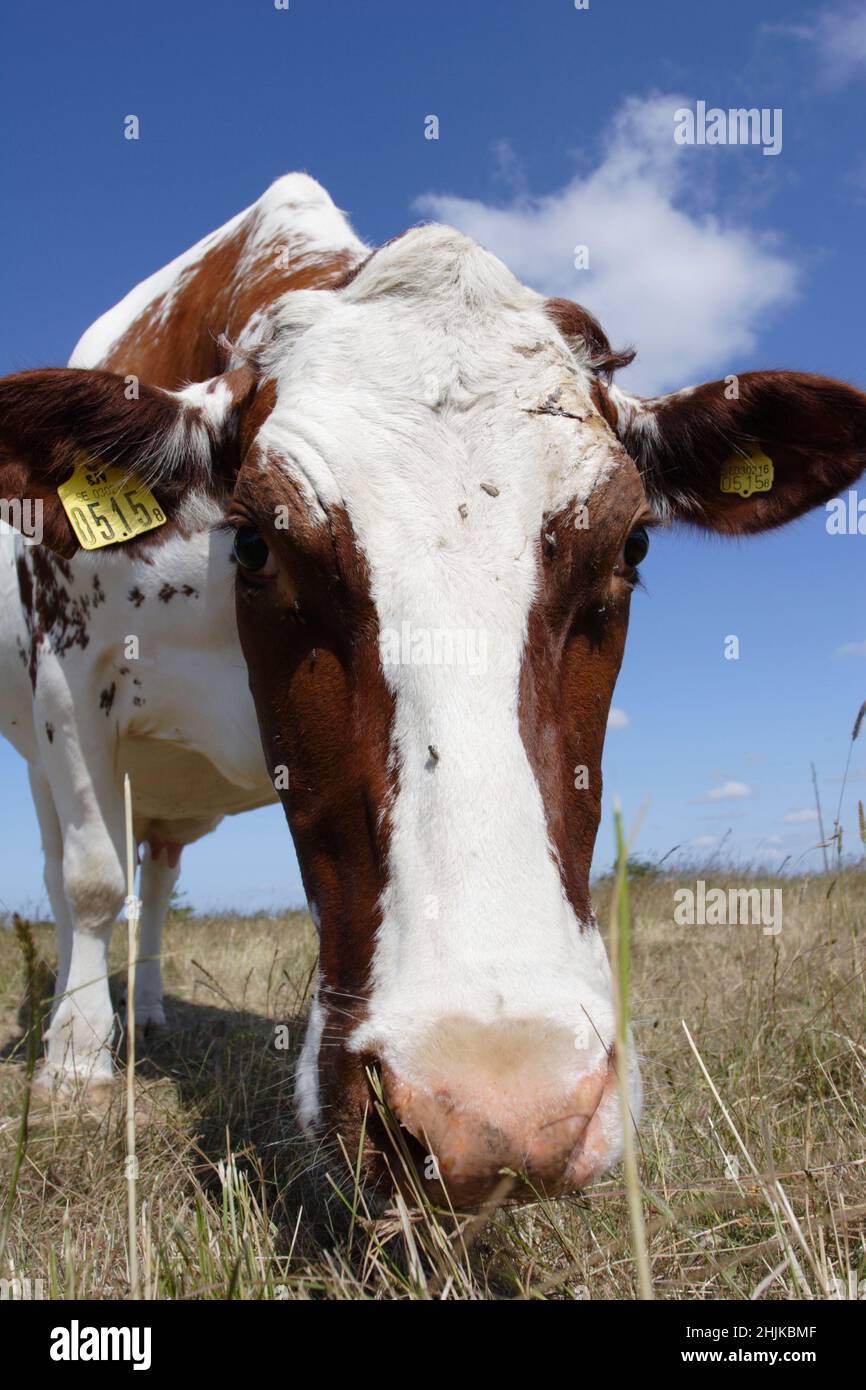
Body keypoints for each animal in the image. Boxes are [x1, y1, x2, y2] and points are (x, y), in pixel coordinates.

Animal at [1, 173, 864, 1206]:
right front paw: (75, 1065)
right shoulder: (68, 676)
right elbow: (89, 881)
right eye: (254, 542)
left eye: (633, 545)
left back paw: (156, 1008)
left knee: (162, 873)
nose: (498, 1114)